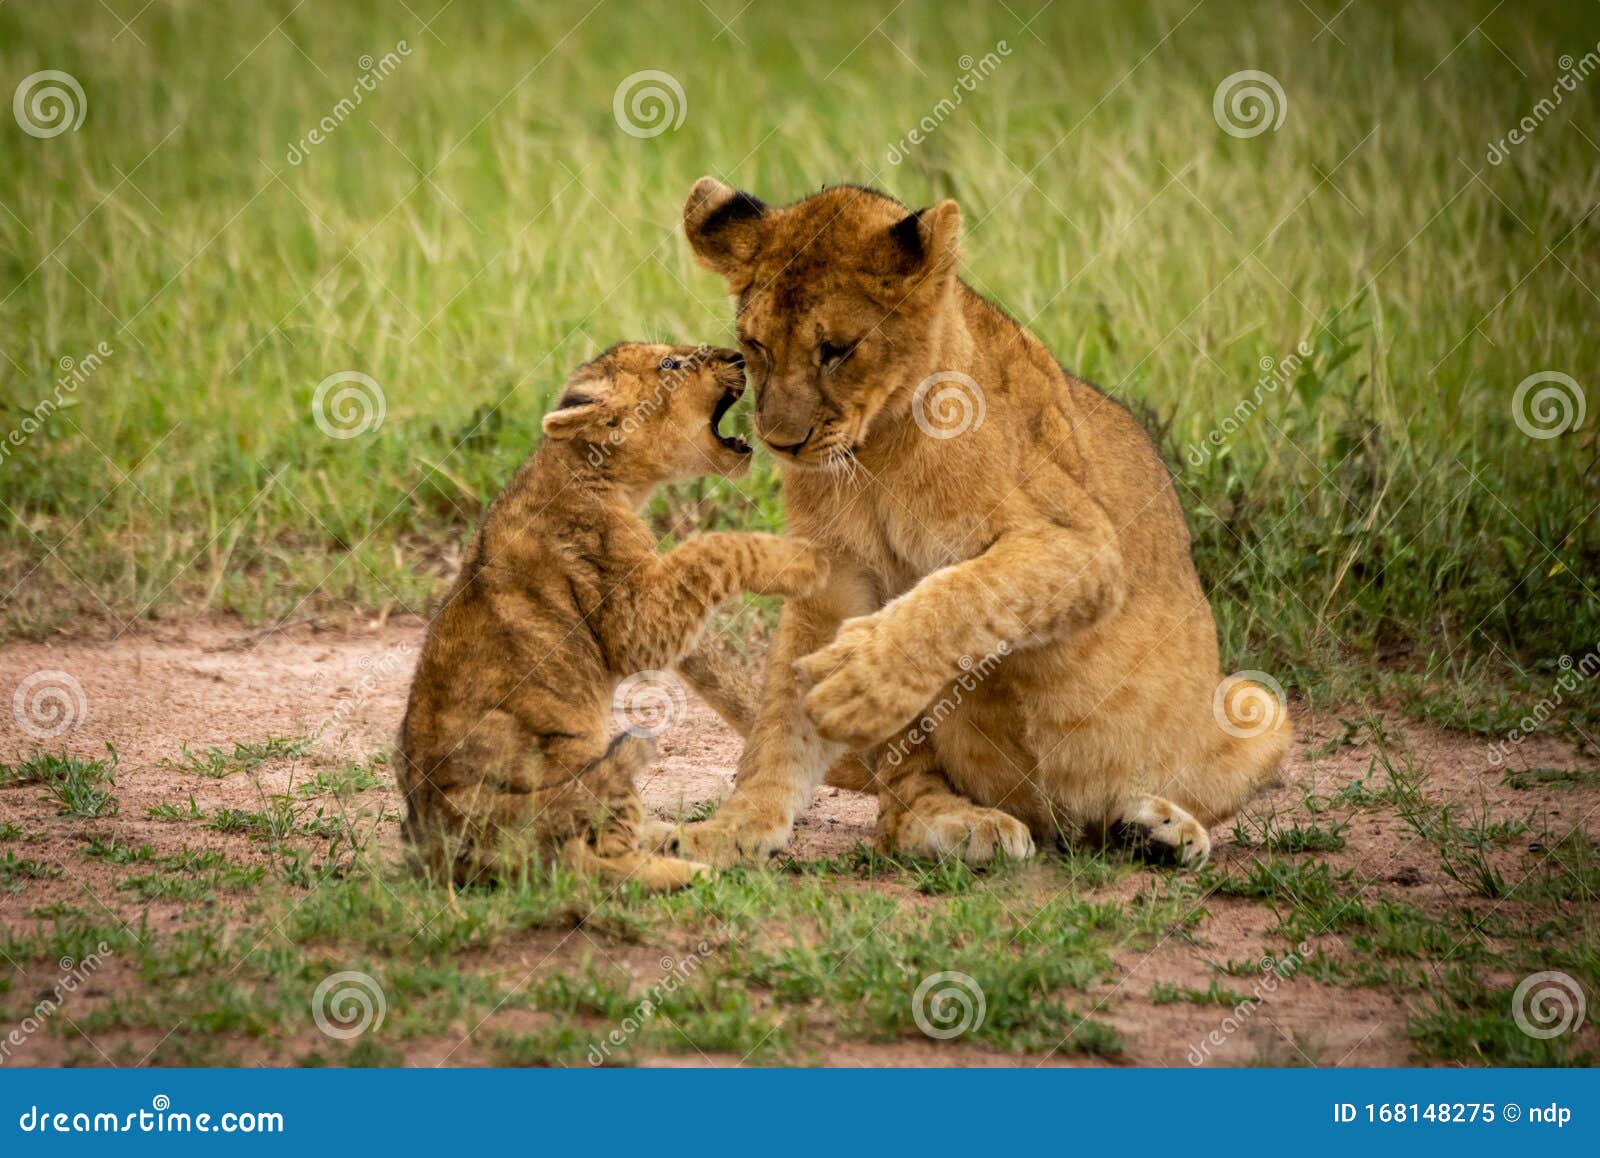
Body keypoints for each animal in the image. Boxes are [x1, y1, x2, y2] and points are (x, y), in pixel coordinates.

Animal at [397, 342, 829, 891]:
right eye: (669, 365)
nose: (736, 355)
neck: (587, 468)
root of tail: (436, 846)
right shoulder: (632, 620)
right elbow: (711, 547)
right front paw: (803, 560)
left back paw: (667, 838)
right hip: (585, 769)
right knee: (580, 866)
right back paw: (689, 871)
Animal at [673, 178, 1291, 869]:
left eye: (838, 350)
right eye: (755, 346)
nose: (780, 442)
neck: (877, 449)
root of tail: (1058, 826)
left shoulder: (1081, 543)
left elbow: (962, 592)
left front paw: (856, 675)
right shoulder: (833, 585)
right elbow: (780, 728)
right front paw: (731, 830)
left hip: (1258, 706)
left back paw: (1155, 827)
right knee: (897, 814)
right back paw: (962, 824)